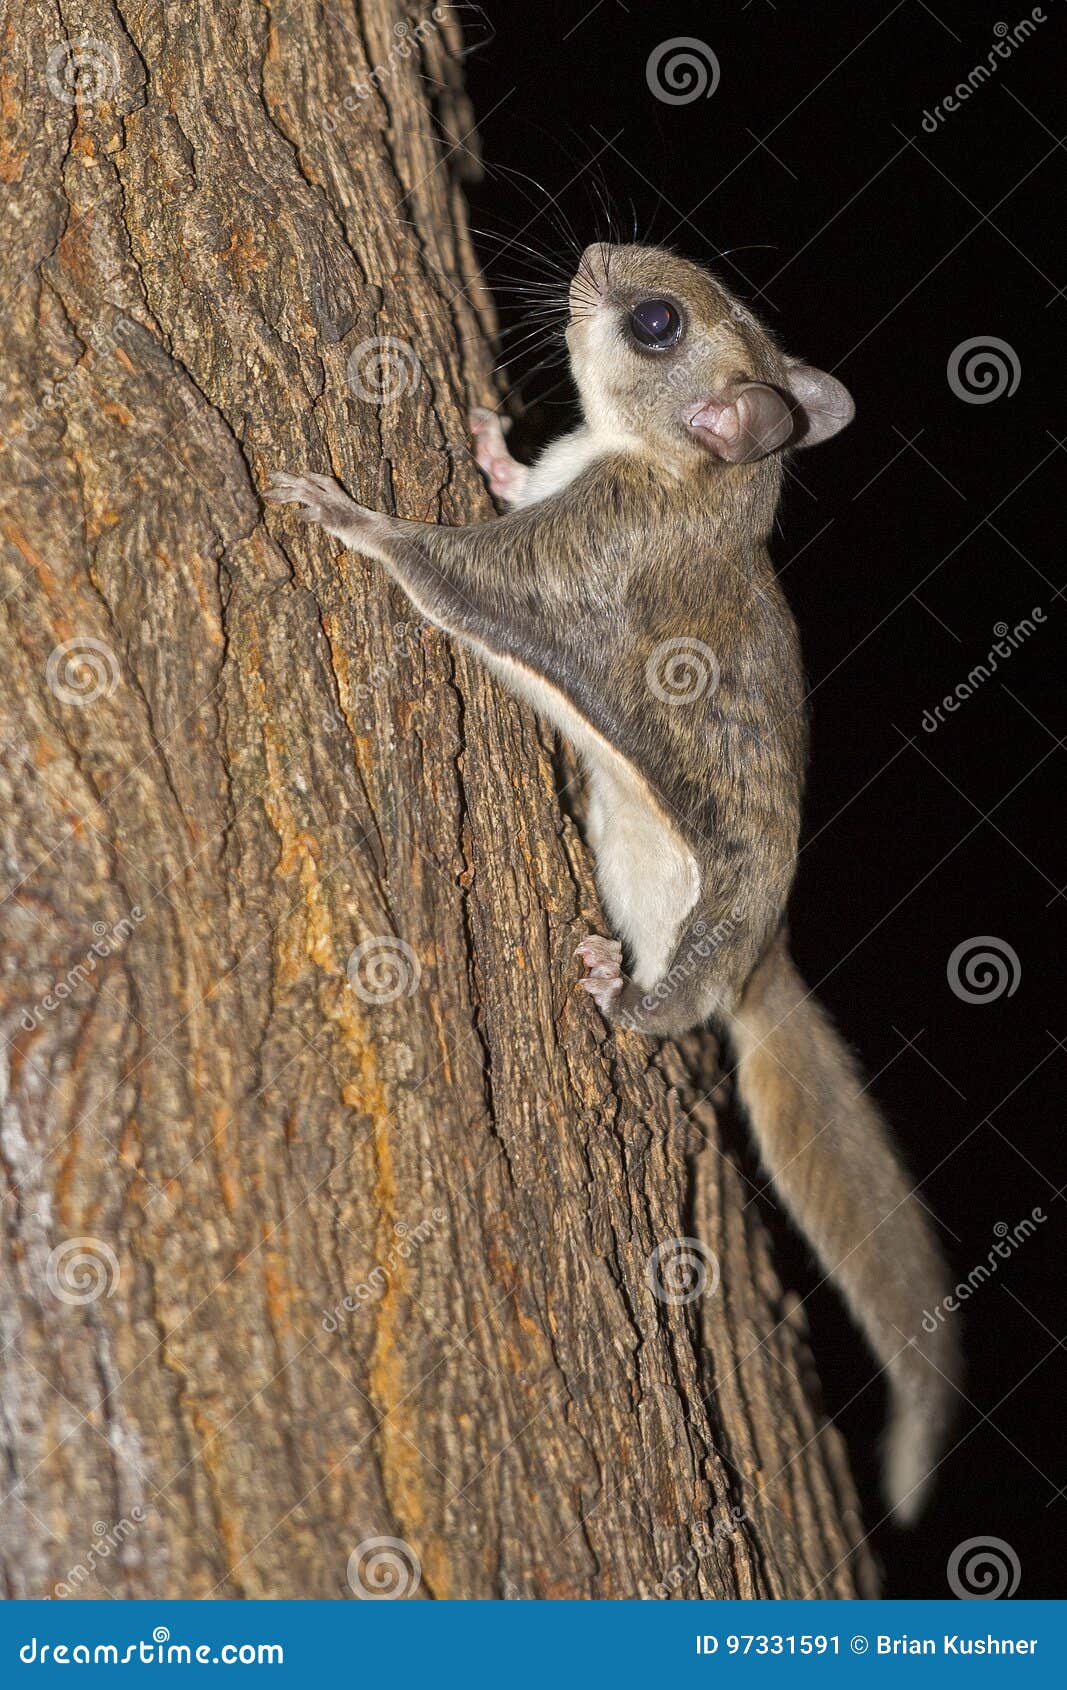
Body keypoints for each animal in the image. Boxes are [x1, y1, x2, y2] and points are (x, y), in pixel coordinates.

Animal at [265, 241, 960, 1524]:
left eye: (653, 322)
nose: (592, 257)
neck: (678, 476)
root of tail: (759, 961)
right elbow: (508, 483)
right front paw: (489, 441)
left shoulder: (574, 556)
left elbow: (442, 568)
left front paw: (344, 513)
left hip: (694, 931)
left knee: (669, 1010)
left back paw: (617, 990)